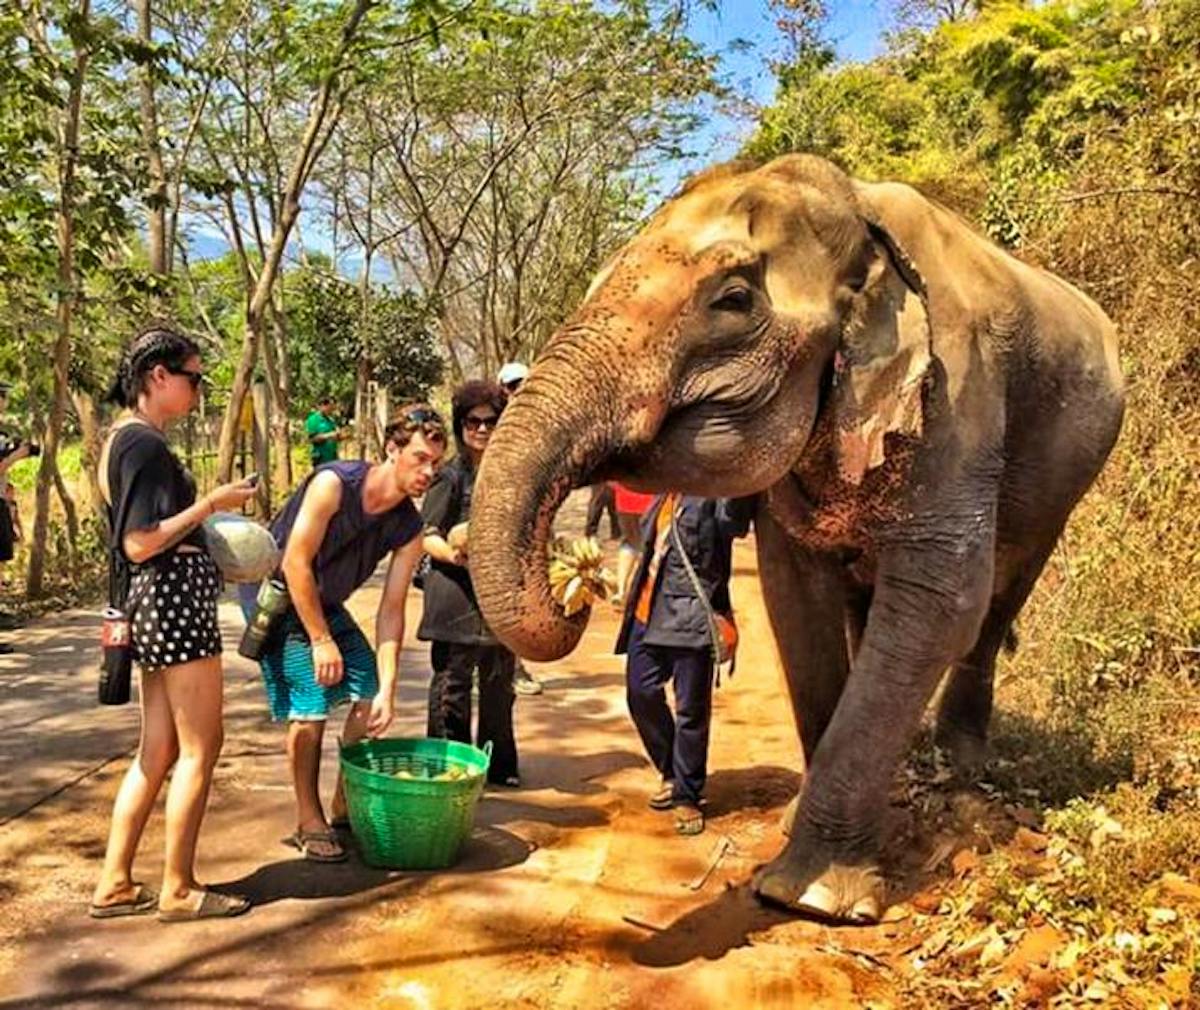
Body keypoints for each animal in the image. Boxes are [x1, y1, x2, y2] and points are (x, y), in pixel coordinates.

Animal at [467, 154, 1124, 923]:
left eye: (733, 300)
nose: (577, 598)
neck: (864, 227)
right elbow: (794, 597)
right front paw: (798, 857)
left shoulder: (962, 394)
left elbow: (939, 603)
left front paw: (811, 898)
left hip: (1063, 483)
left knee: (994, 604)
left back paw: (961, 780)